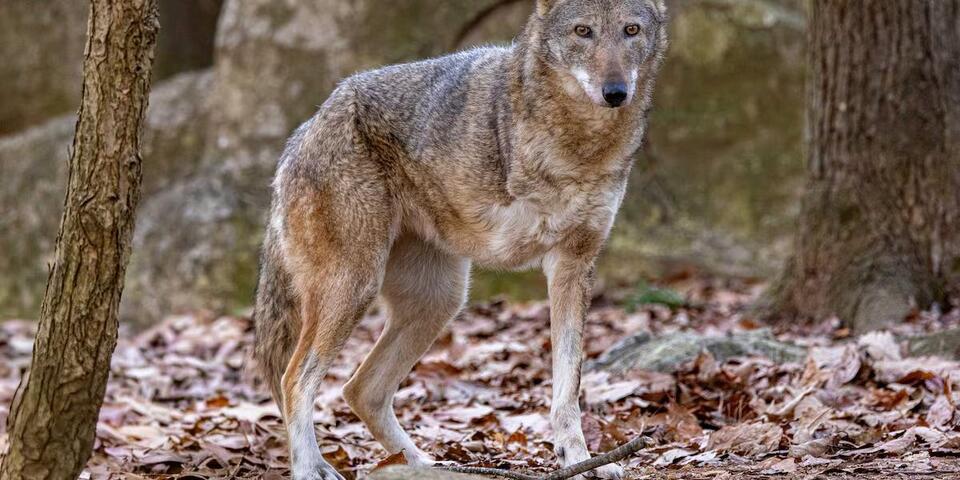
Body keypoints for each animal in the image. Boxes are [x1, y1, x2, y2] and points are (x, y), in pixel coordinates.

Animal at [253, 0, 667, 478]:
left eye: (630, 30)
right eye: (583, 32)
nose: (615, 91)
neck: (580, 144)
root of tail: (305, 128)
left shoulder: (573, 265)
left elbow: (568, 387)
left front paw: (581, 460)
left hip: (439, 302)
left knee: (361, 390)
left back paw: (422, 463)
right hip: (355, 289)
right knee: (295, 380)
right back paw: (312, 467)